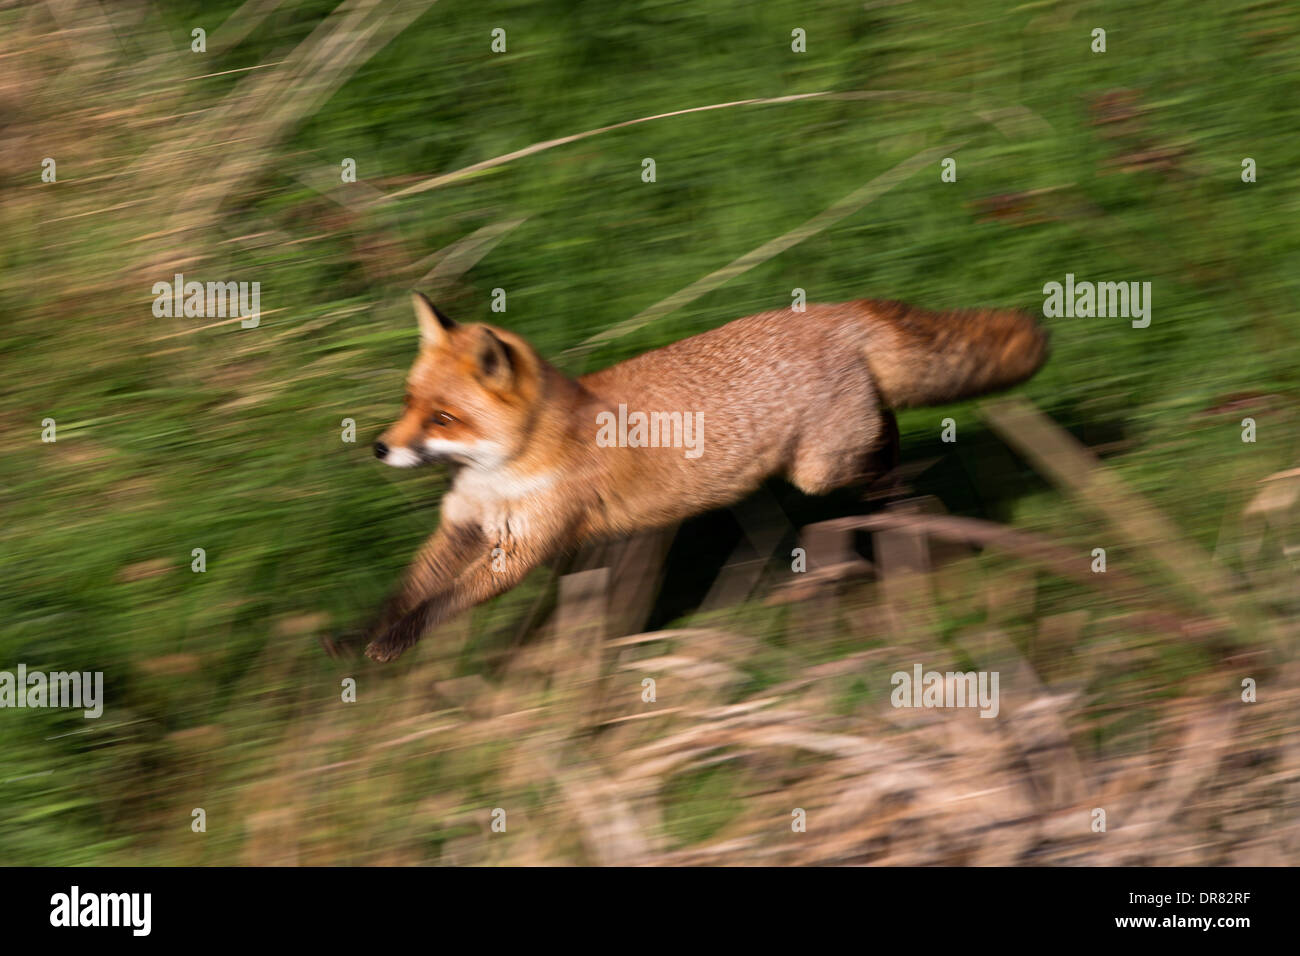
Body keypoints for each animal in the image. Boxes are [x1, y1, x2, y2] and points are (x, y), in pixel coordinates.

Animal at [362, 292, 1048, 661]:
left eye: (443, 418)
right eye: (409, 403)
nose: (378, 447)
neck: (502, 474)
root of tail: (836, 310)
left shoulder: (523, 547)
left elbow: (444, 601)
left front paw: (395, 641)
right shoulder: (463, 525)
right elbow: (410, 587)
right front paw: (363, 635)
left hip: (820, 470)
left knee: (883, 448)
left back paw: (897, 486)